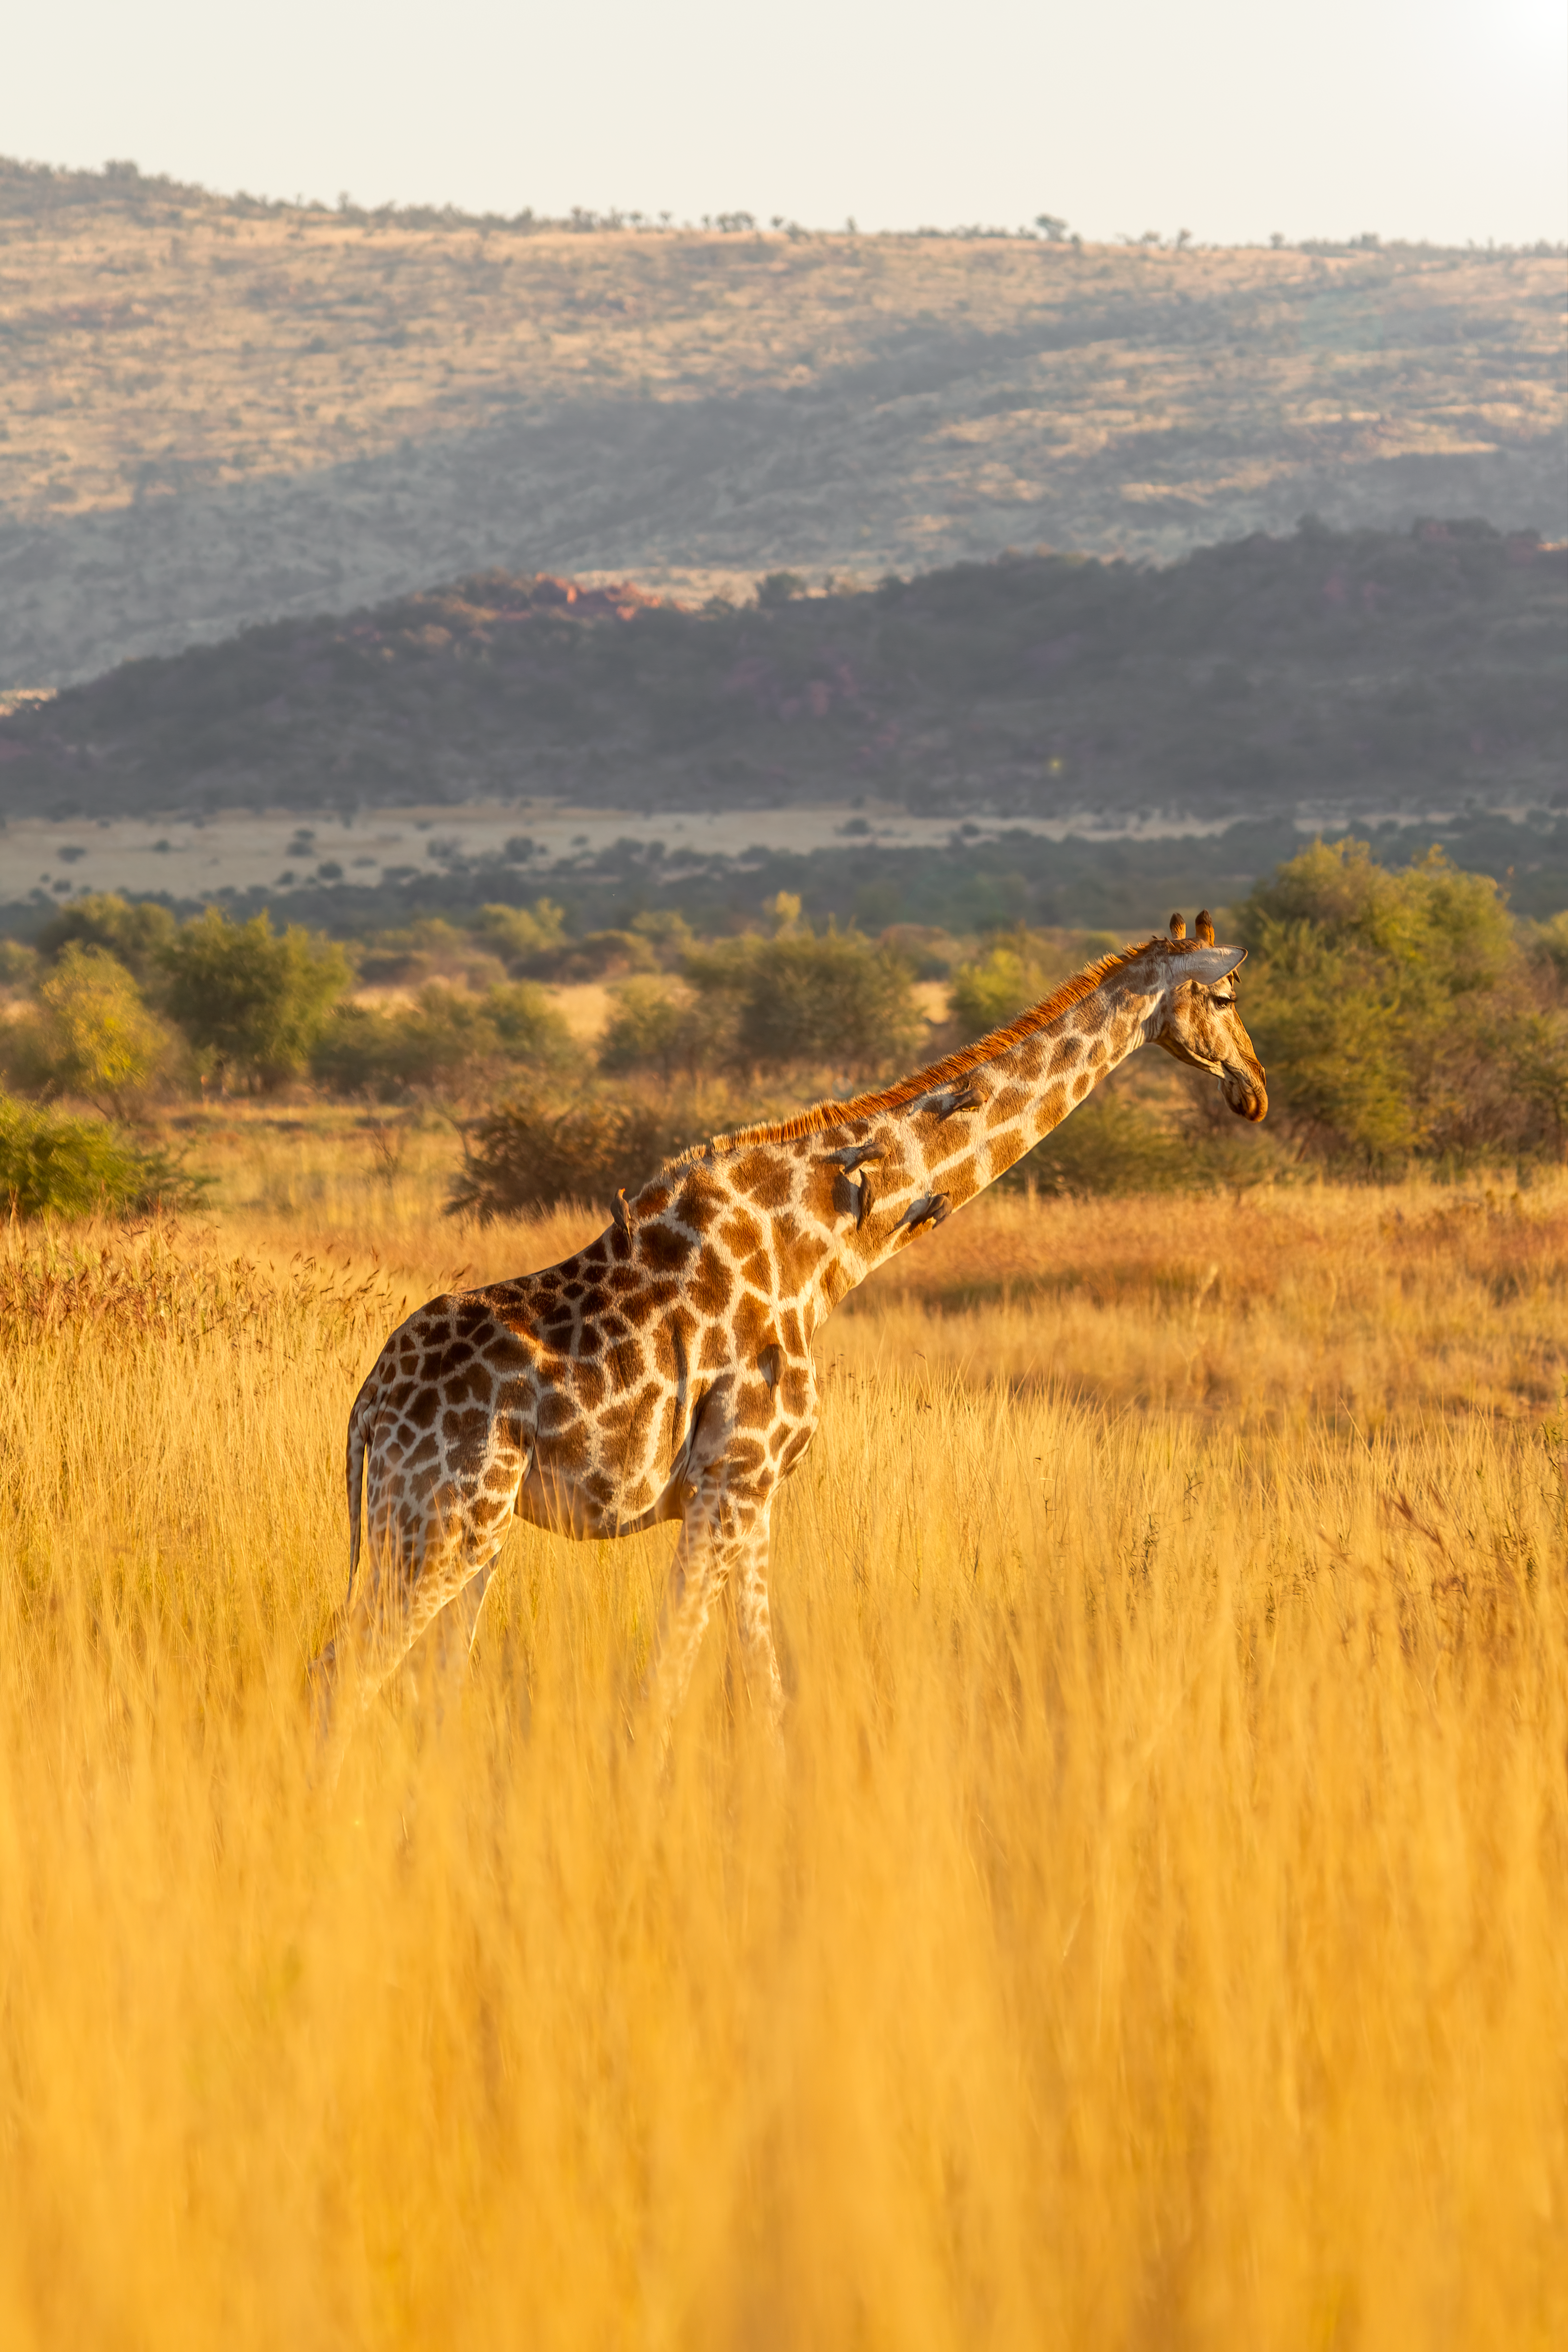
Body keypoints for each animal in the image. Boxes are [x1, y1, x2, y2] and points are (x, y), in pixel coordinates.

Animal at [310, 912, 1266, 1755]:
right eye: (1223, 995)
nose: (1253, 1089)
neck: (820, 1249)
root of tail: (366, 1408)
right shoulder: (731, 1477)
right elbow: (666, 1683)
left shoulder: (756, 1489)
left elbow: (760, 1684)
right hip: (443, 1517)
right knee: (347, 1666)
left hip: (469, 1530)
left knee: (424, 1681)